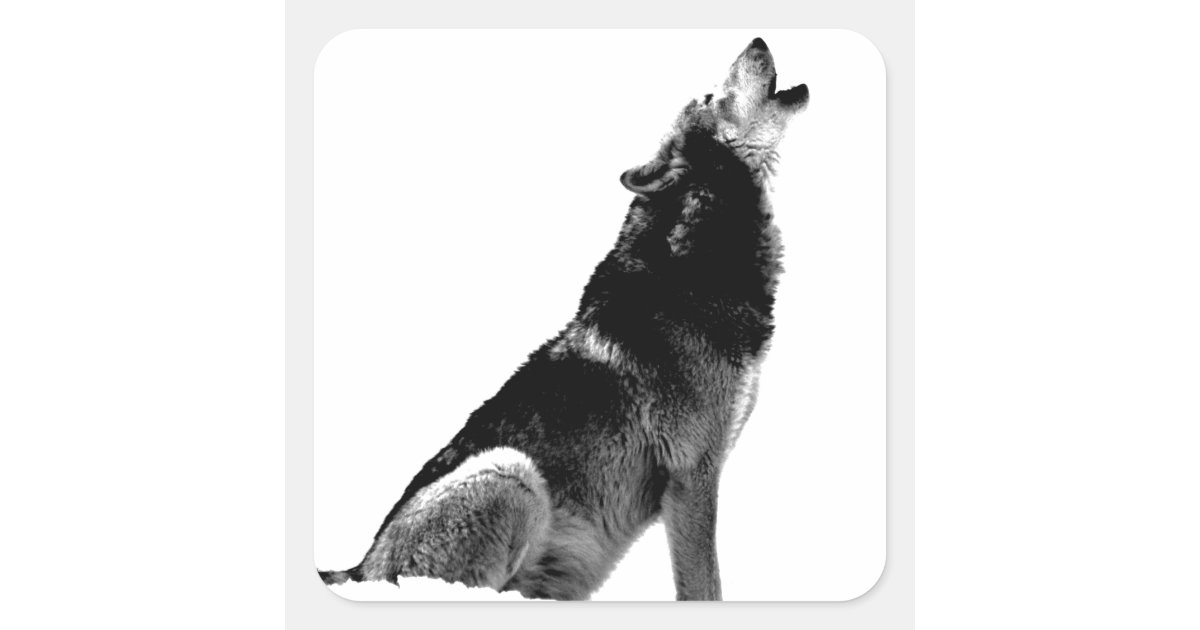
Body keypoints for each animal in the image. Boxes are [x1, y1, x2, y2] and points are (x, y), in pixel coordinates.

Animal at [318, 38, 808, 601]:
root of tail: (361, 568)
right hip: (511, 472)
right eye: (710, 95)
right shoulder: (692, 476)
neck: (695, 264)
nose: (757, 41)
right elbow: (705, 586)